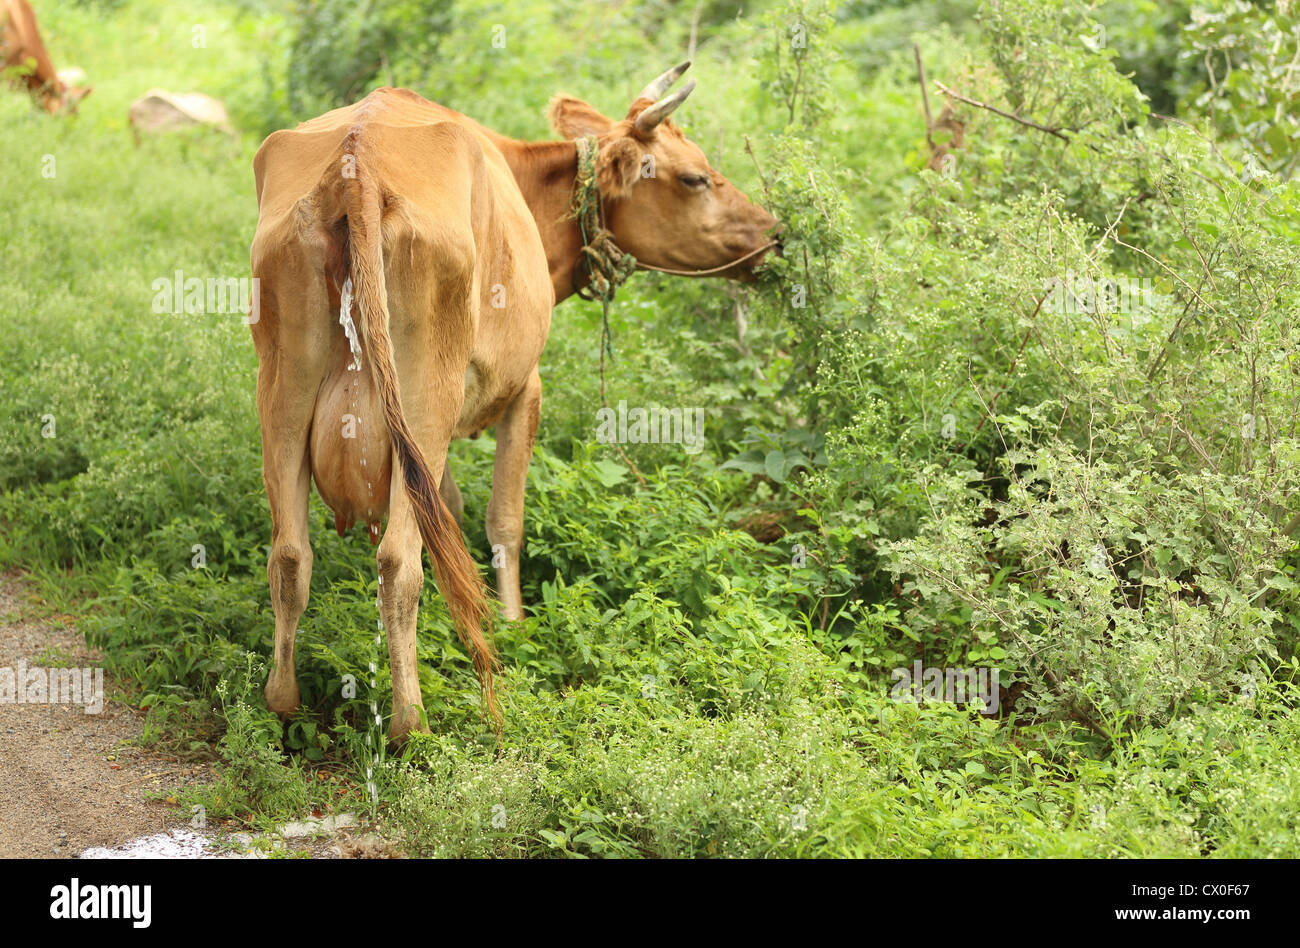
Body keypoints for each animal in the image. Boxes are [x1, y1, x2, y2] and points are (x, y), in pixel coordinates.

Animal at [249, 62, 778, 741]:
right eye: (695, 176)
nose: (775, 235)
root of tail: (354, 164)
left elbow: (448, 510)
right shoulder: (526, 387)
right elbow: (504, 519)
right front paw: (511, 623)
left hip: (284, 394)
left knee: (291, 556)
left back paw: (283, 701)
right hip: (422, 397)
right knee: (398, 561)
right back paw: (411, 721)